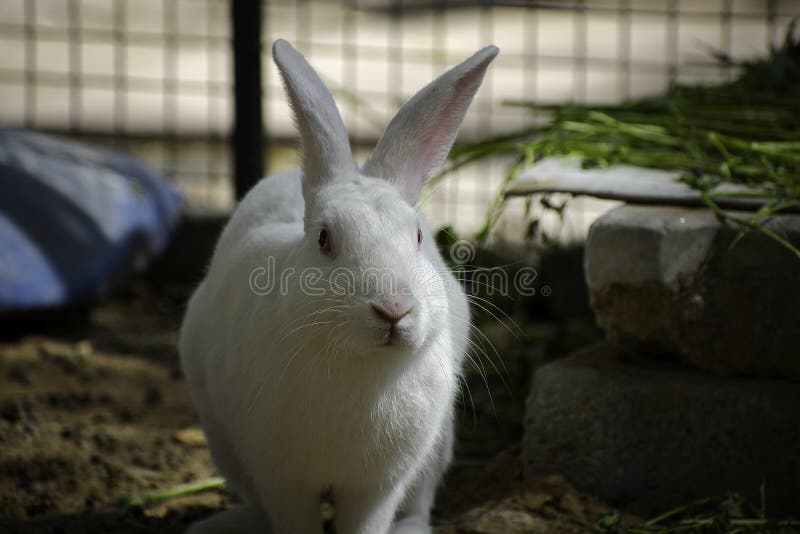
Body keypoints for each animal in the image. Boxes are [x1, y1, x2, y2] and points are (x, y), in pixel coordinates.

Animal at [179, 39, 498, 534]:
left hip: (436, 449)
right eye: (325, 239)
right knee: (255, 506)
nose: (393, 309)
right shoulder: (282, 480)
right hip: (224, 446)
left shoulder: (378, 487)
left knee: (420, 504)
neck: (362, 365)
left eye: (418, 236)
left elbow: (367, 522)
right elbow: (293, 521)